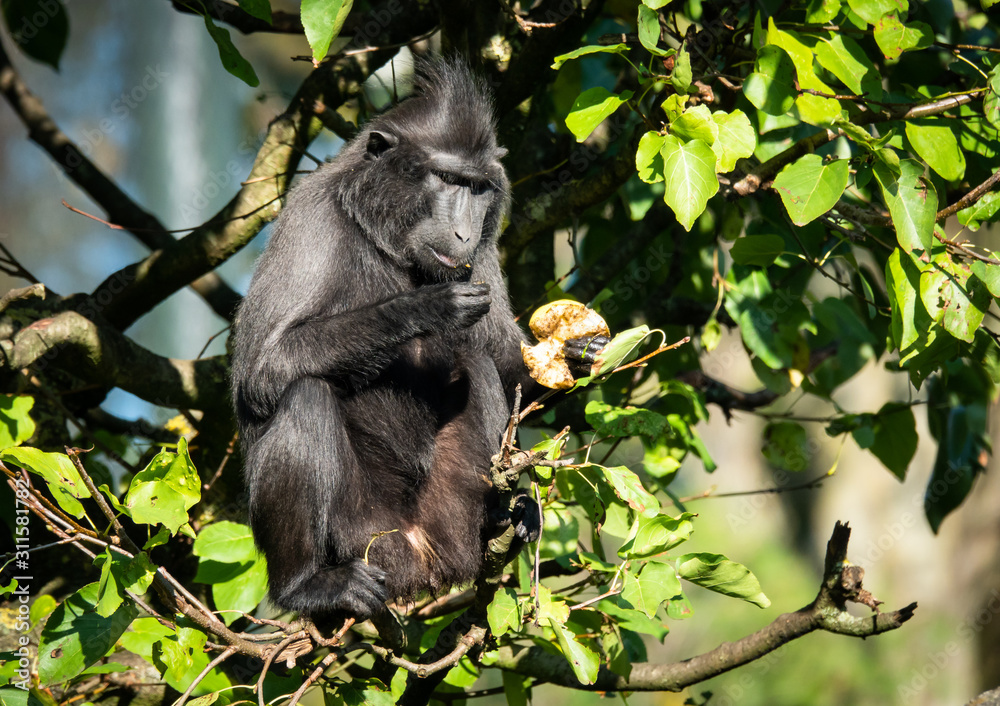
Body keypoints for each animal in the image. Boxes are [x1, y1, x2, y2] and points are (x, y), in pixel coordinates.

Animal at [231, 59, 605, 622]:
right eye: (446, 179)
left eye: (478, 189)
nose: (464, 234)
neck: (387, 239)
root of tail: (417, 555)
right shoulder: (312, 218)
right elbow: (260, 371)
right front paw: (426, 308)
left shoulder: (482, 253)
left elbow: (506, 365)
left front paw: (577, 356)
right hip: (363, 534)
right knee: (304, 395)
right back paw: (308, 585)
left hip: (444, 519)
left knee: (475, 363)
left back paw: (499, 519)